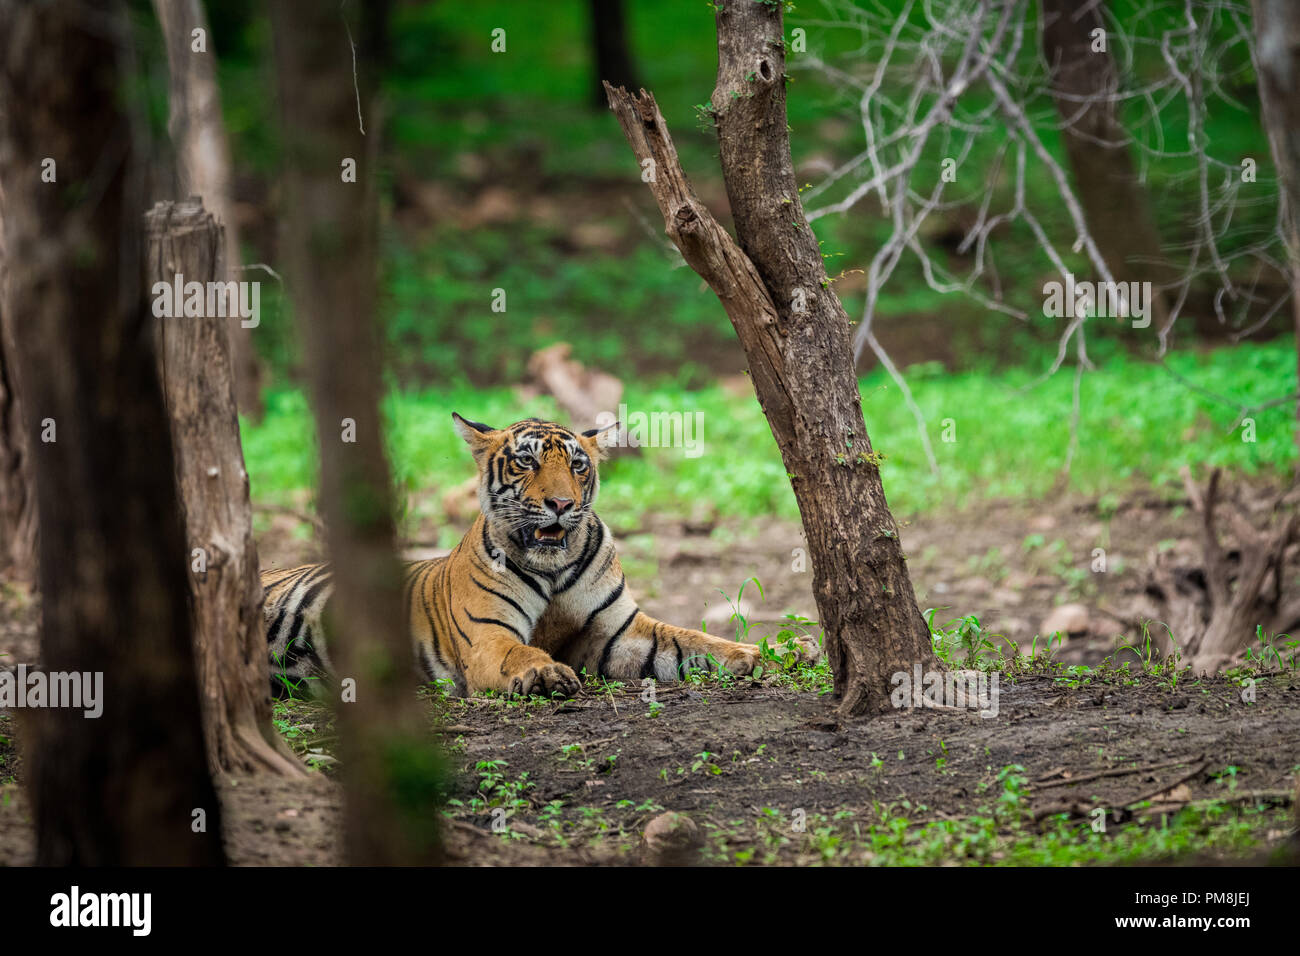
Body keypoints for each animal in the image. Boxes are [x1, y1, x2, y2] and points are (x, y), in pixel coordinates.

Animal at [261, 413, 821, 698]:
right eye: (526, 462)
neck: (554, 570)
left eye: (577, 465)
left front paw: (780, 653)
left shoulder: (622, 633)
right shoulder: (489, 636)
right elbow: (521, 652)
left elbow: (701, 640)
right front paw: (548, 673)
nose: (561, 504)